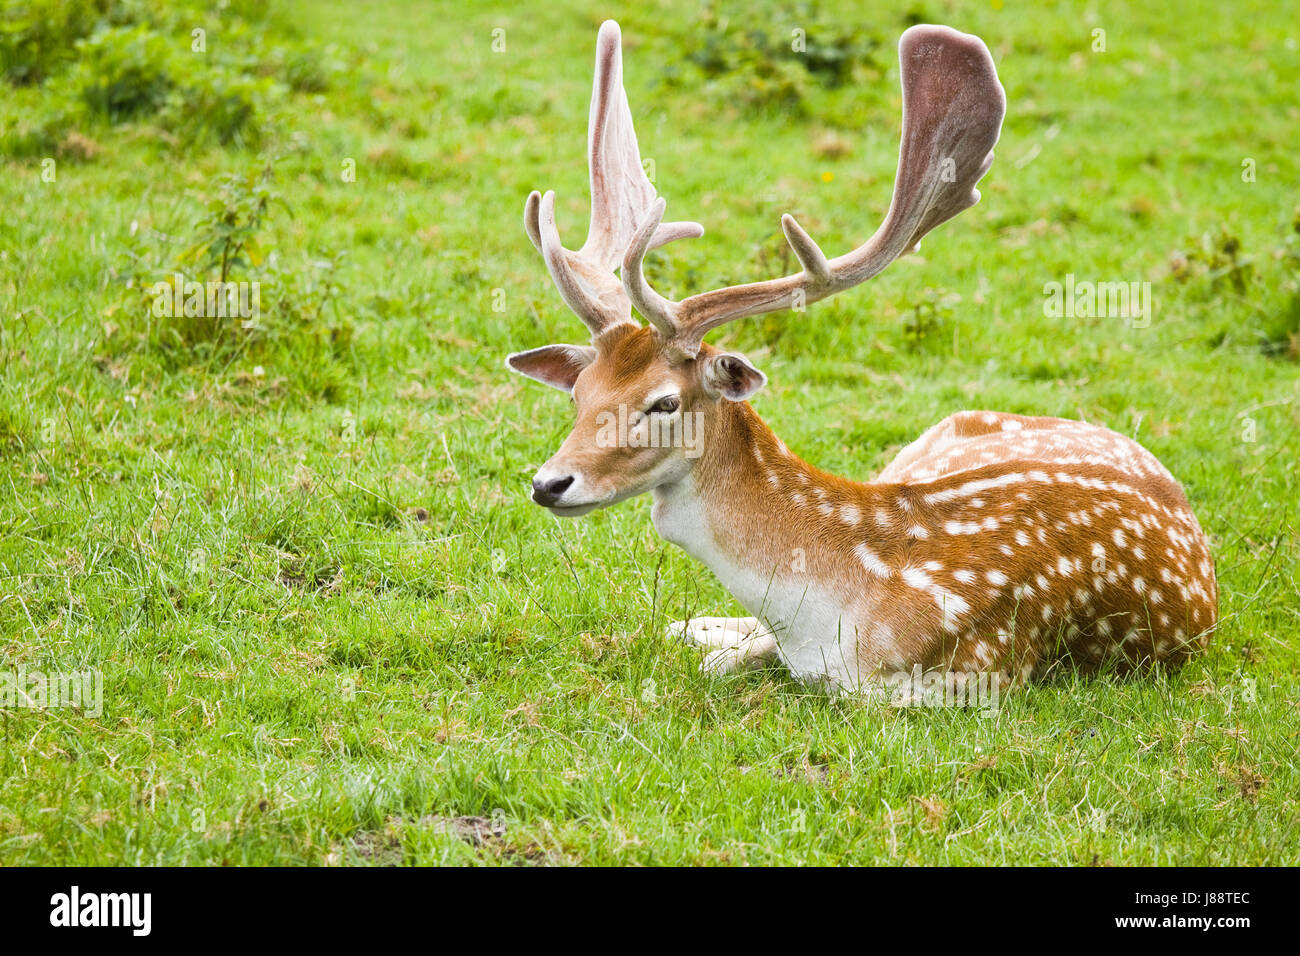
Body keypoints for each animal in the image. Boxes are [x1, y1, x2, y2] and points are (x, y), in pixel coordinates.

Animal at [506, 20, 1218, 693]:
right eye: (580, 395)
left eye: (663, 402)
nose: (548, 484)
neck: (834, 612)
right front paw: (705, 636)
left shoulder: (982, 672)